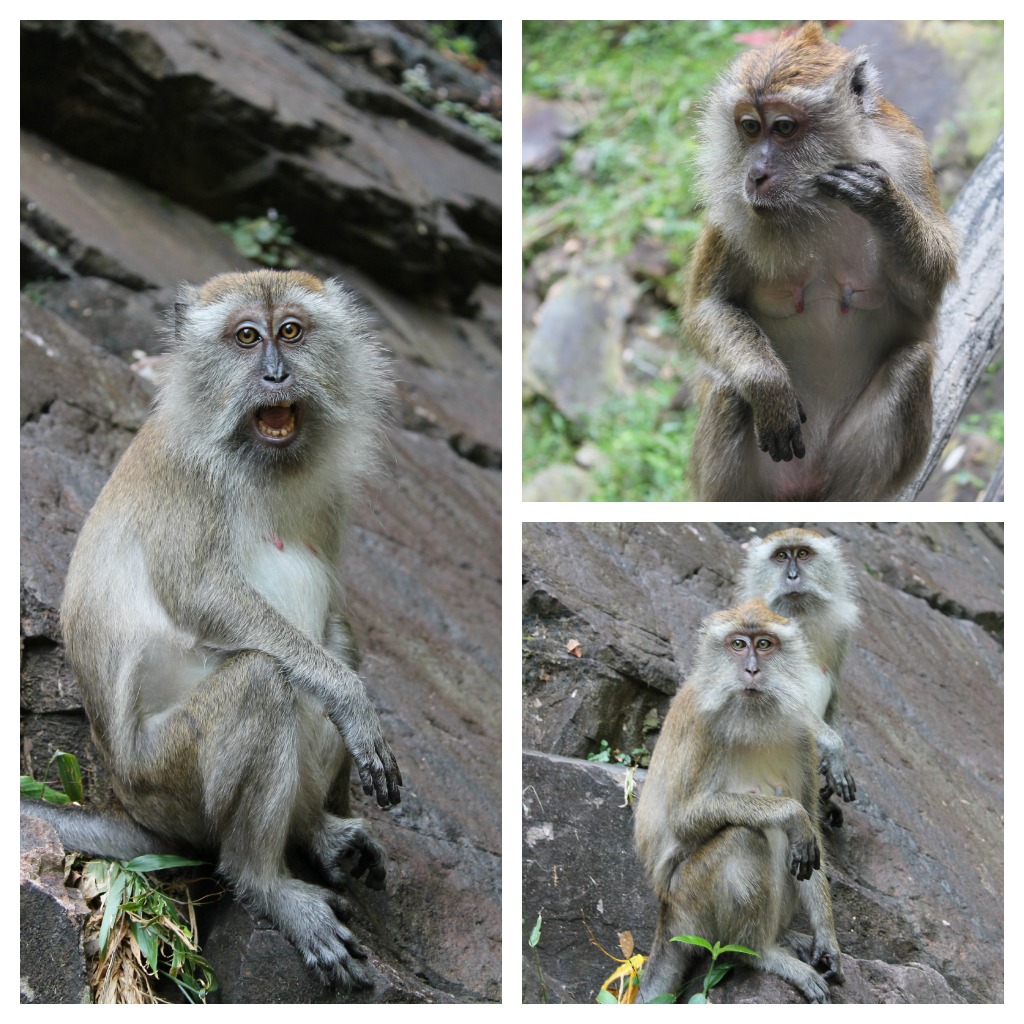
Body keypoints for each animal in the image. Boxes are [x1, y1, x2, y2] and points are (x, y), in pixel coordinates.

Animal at [25, 269, 402, 991]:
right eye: (246, 337)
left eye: (292, 331)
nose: (277, 374)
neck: (255, 459)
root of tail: (132, 807)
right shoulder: (187, 476)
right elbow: (203, 595)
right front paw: (353, 701)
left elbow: (331, 616)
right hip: (167, 782)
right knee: (261, 678)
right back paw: (266, 881)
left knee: (333, 635)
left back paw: (315, 829)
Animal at [635, 599, 843, 1003]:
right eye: (737, 644)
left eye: (763, 644)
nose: (751, 670)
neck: (753, 715)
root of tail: (665, 913)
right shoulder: (703, 727)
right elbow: (684, 817)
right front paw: (791, 814)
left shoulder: (802, 733)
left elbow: (811, 828)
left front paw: (828, 939)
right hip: (689, 903)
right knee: (746, 836)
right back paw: (761, 952)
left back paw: (782, 937)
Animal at [685, 21, 959, 501]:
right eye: (750, 128)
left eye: (784, 128)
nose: (755, 174)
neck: (814, 203)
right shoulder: (730, 209)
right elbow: (708, 308)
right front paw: (768, 385)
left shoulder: (908, 157)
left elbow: (928, 291)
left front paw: (884, 205)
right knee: (729, 391)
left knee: (912, 366)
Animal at [737, 528, 859, 824]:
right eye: (781, 556)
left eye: (803, 554)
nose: (792, 576)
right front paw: (835, 749)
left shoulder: (840, 632)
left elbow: (834, 689)